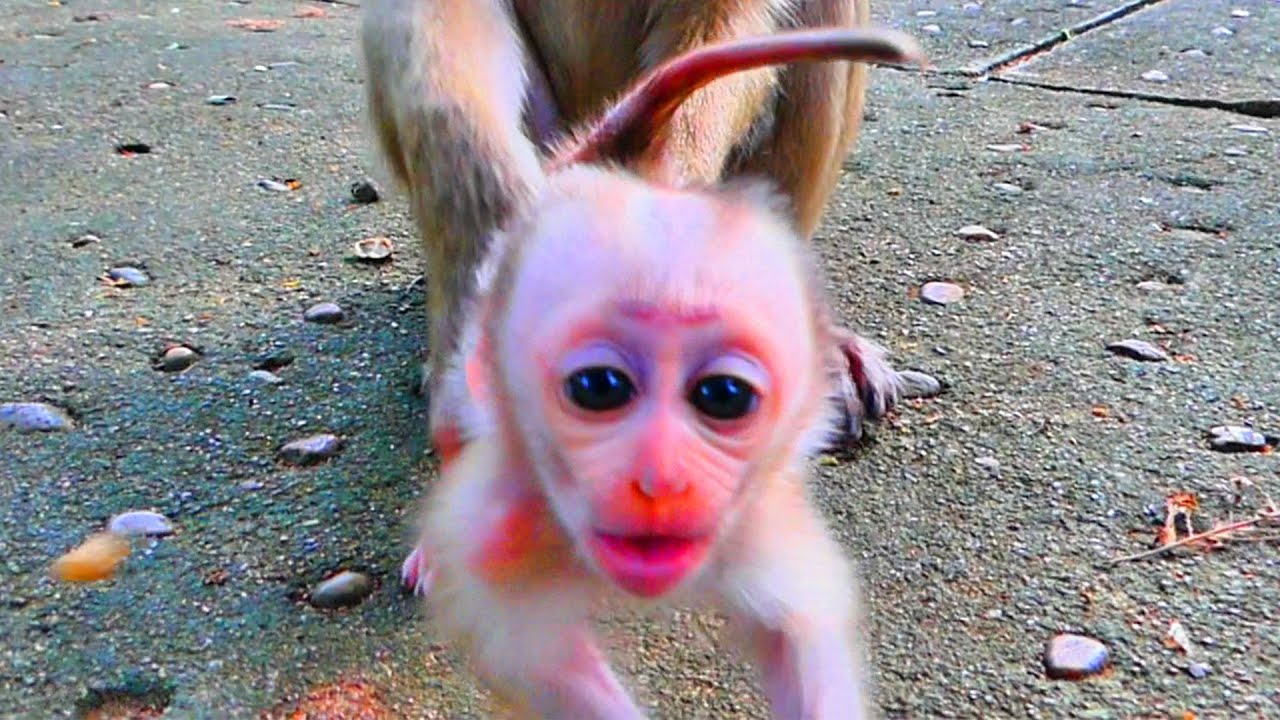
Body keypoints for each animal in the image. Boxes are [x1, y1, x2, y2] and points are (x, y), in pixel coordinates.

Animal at [394, 29, 925, 718]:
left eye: (724, 396)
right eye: (597, 388)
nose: (660, 483)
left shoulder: (753, 511)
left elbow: (796, 627)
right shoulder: (508, 523)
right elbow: (529, 656)